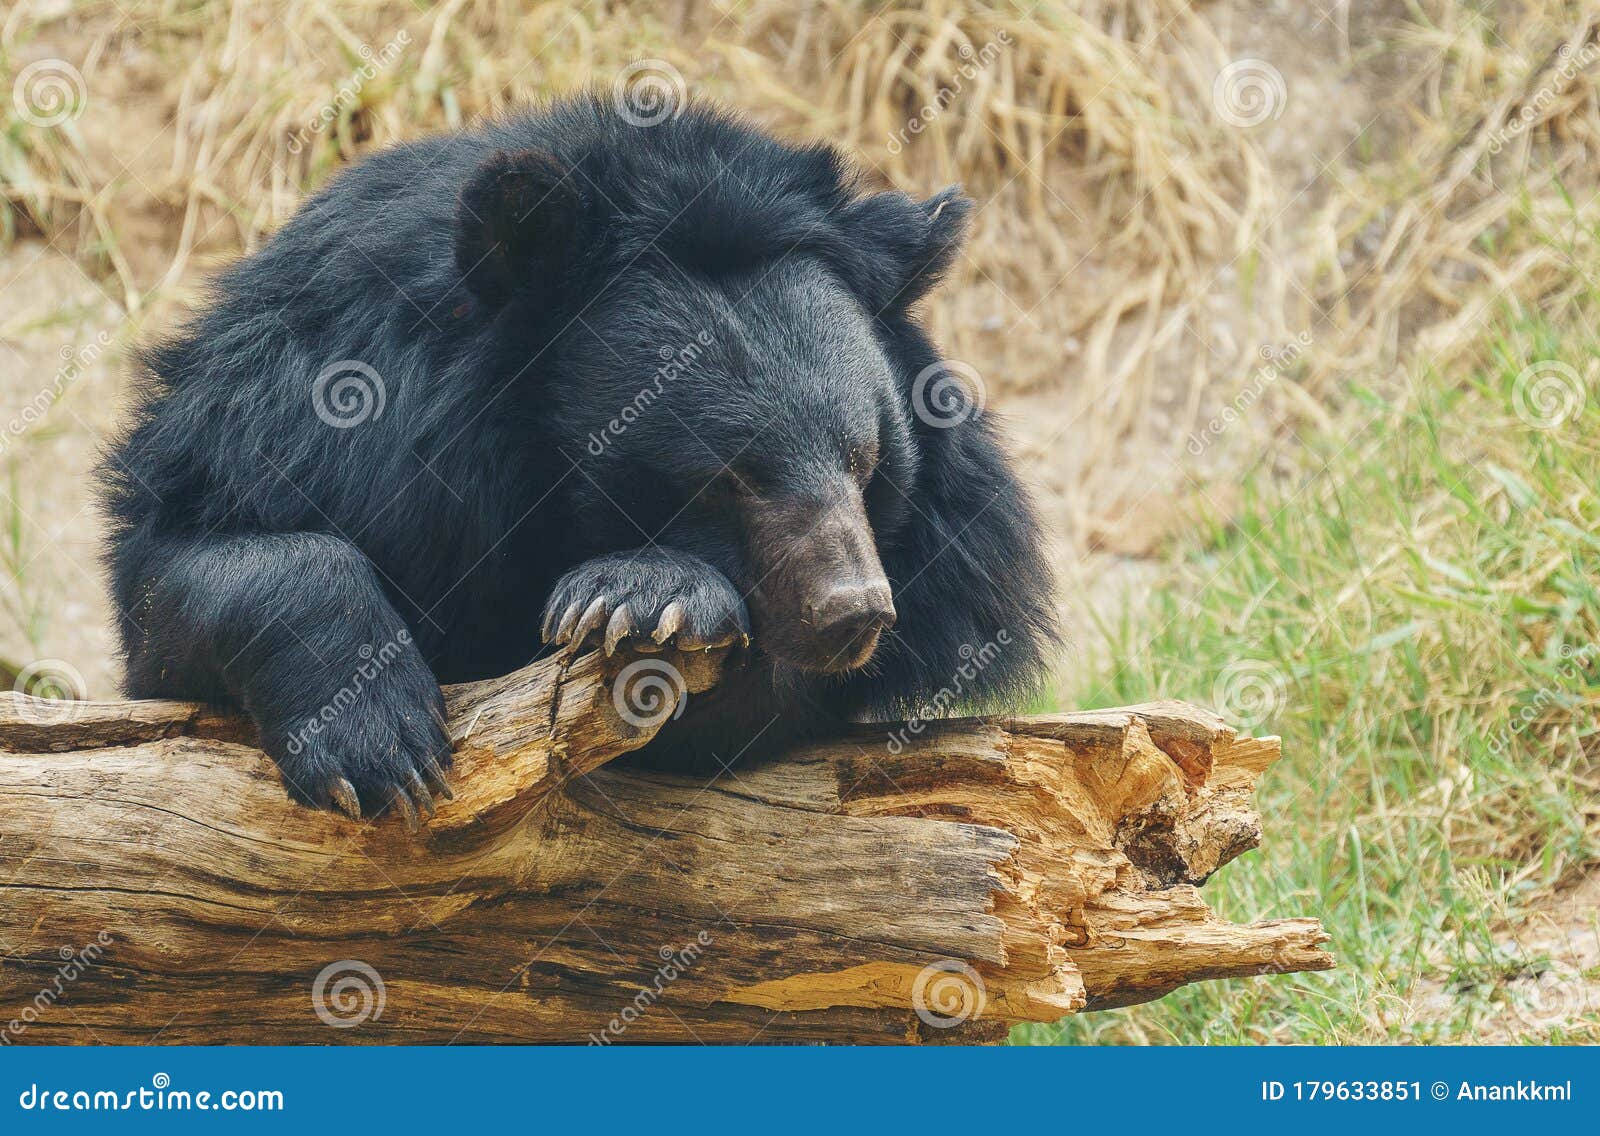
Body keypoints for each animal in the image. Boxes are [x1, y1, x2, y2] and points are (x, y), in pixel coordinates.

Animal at [98, 97, 1058, 825]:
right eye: (729, 478)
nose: (852, 615)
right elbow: (190, 570)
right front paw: (379, 751)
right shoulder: (293, 424)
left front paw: (642, 600)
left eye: (866, 462)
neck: (532, 479)